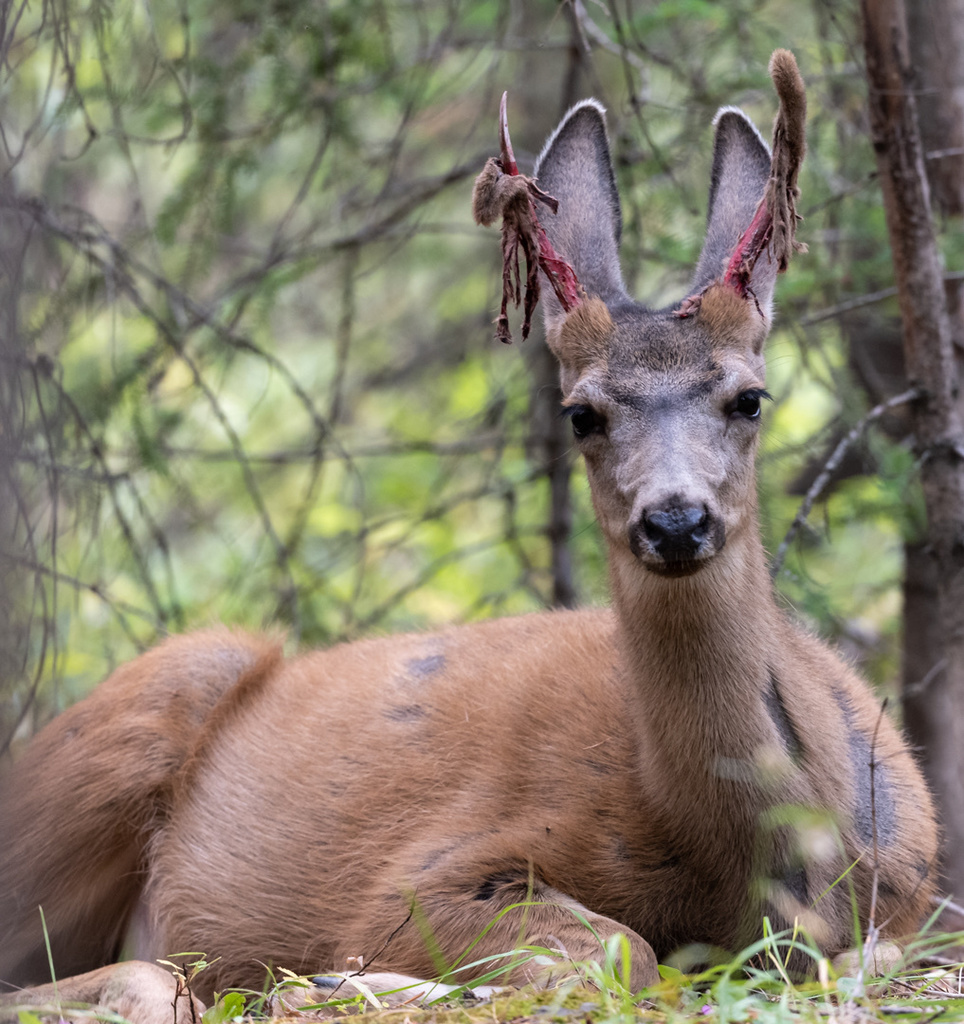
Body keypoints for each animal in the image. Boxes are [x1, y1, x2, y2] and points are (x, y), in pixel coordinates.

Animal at [0, 51, 939, 1024]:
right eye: (580, 414)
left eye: (750, 398)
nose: (675, 520)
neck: (750, 862)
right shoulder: (425, 871)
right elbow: (617, 947)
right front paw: (355, 973)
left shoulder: (903, 902)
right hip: (135, 722)